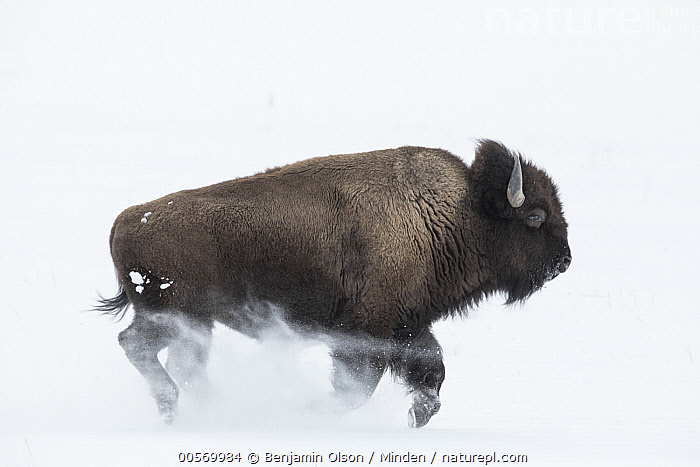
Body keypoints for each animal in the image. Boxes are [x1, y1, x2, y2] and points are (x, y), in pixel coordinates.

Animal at [96, 140, 571, 427]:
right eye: (535, 216)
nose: (564, 261)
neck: (457, 214)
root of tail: (124, 220)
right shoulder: (366, 332)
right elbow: (356, 387)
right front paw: (312, 412)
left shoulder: (409, 326)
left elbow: (431, 373)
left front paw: (417, 416)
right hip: (171, 315)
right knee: (138, 346)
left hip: (196, 324)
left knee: (182, 364)